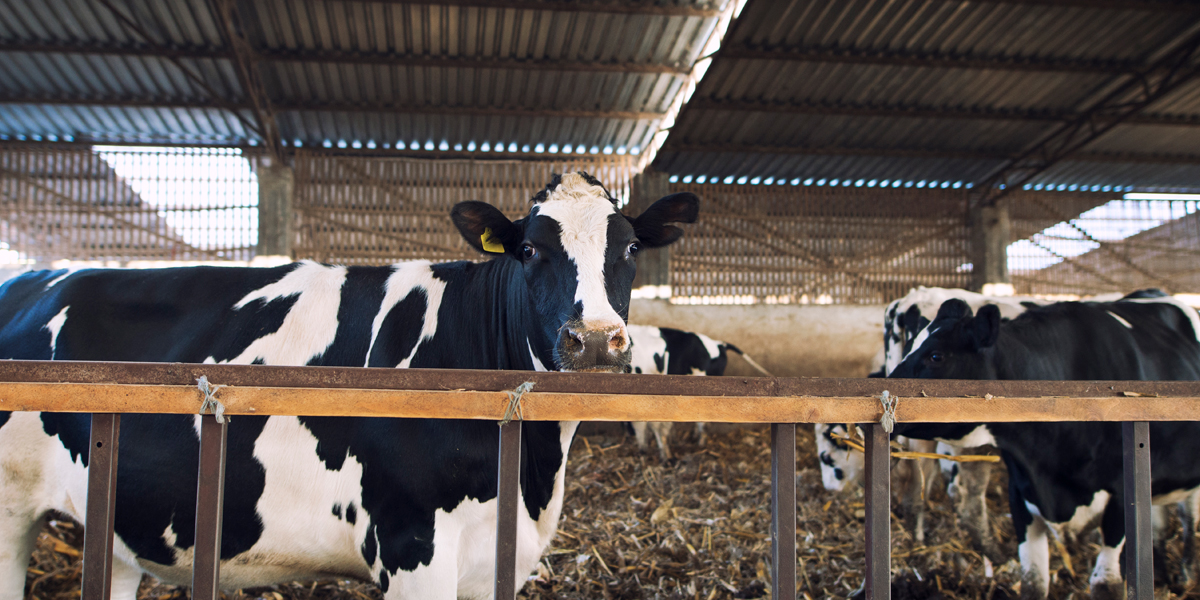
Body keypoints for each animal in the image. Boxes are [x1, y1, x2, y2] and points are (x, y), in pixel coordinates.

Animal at [0, 172, 699, 600]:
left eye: (630, 247)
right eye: (528, 251)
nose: (594, 341)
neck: (531, 475)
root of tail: (32, 277)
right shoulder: (411, 545)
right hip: (10, 513)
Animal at [889, 294, 1200, 600]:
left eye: (936, 356)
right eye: (909, 347)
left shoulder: (1122, 497)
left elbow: (1106, 586)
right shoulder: (1021, 491)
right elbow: (1033, 584)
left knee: (1189, 519)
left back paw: (1185, 575)